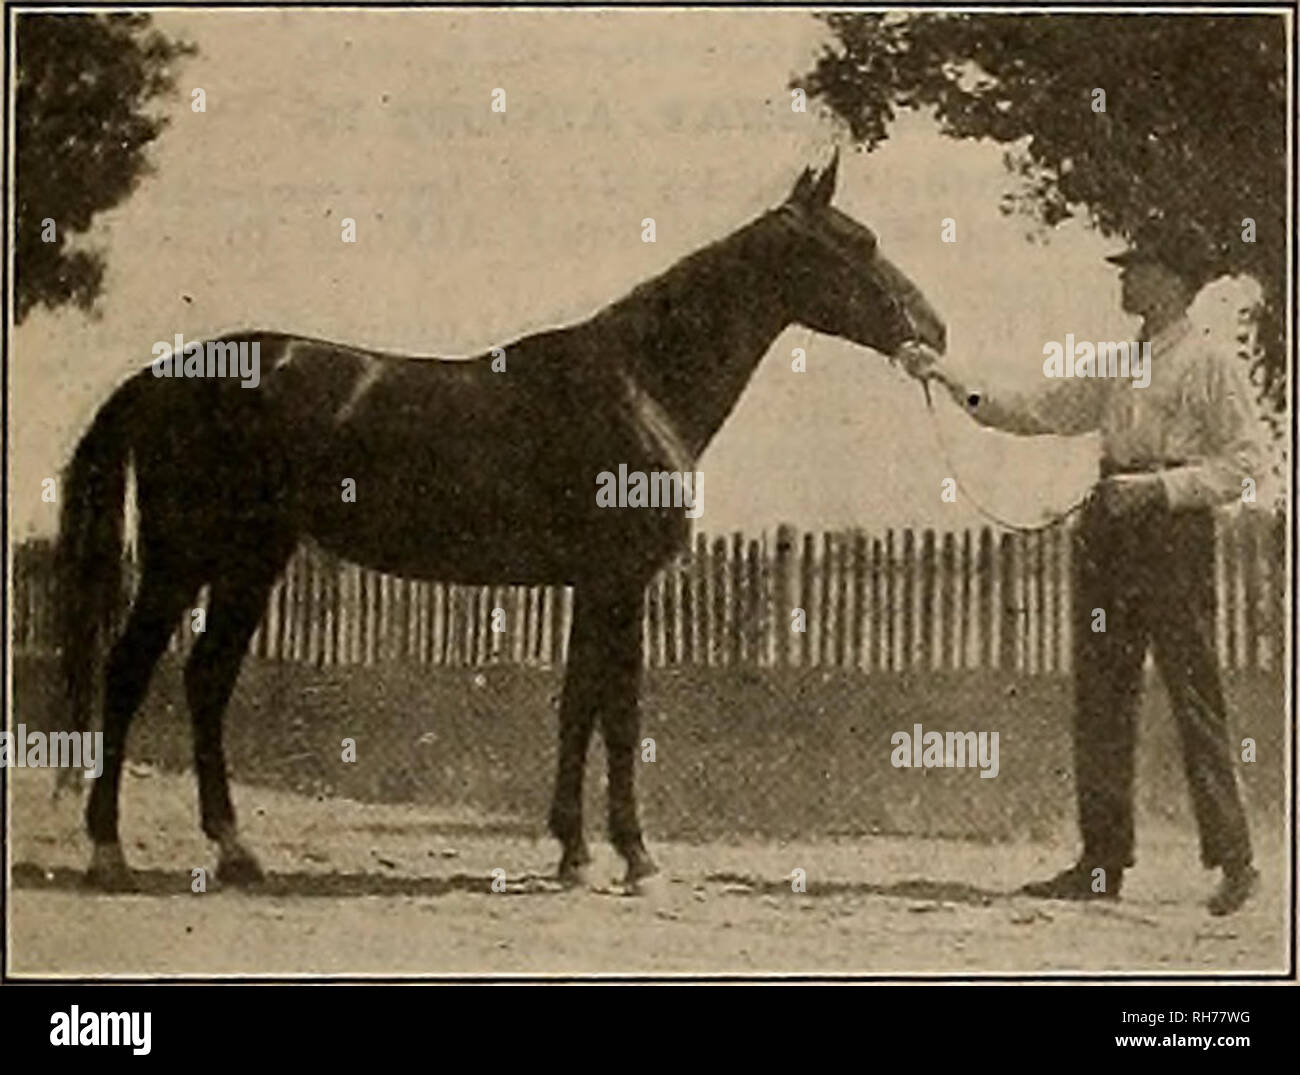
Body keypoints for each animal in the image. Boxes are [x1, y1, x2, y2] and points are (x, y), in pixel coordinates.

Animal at [57, 152, 946, 892]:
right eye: (858, 243)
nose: (934, 329)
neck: (641, 383)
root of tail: (162, 374)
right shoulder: (622, 584)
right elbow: (620, 714)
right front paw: (635, 856)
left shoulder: (593, 586)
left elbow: (578, 705)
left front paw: (575, 851)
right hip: (184, 559)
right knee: (129, 672)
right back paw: (109, 853)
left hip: (252, 560)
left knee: (207, 678)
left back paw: (237, 851)